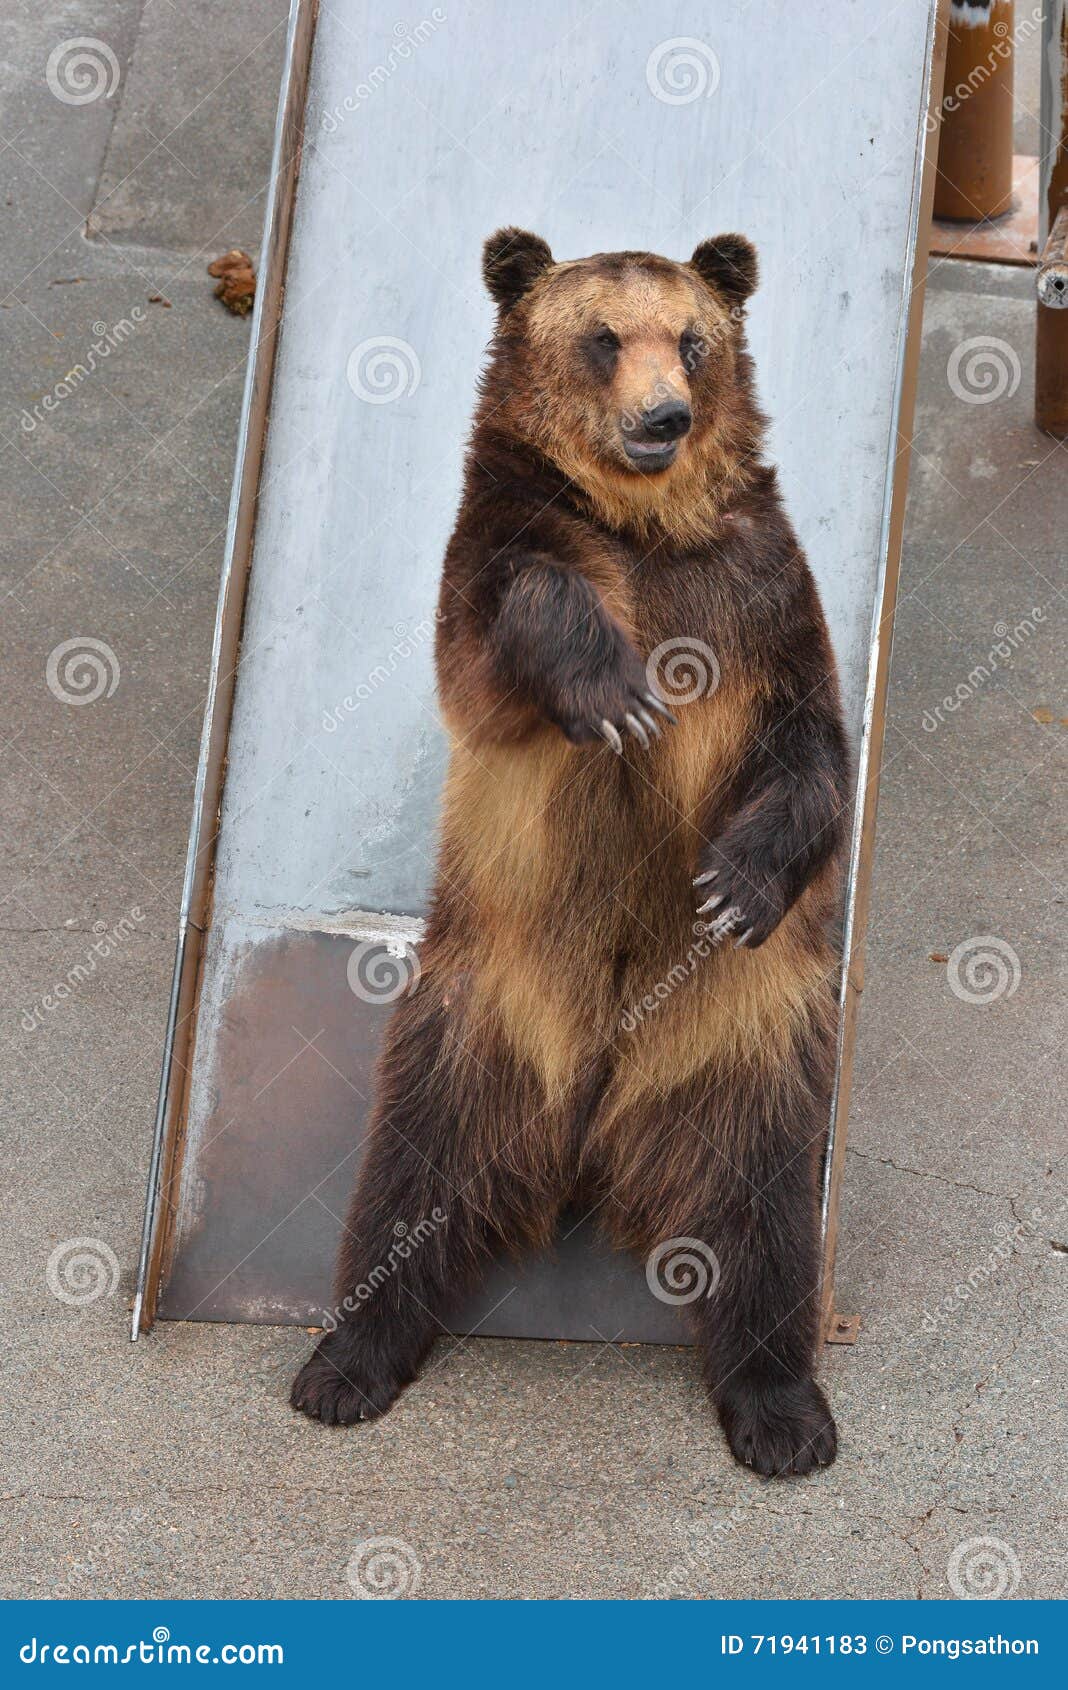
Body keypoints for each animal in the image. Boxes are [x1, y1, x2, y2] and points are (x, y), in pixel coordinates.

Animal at [291, 228, 851, 1477]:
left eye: (690, 340)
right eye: (602, 337)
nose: (665, 417)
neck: (646, 523)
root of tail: (591, 1128)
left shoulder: (760, 599)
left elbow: (812, 758)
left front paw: (733, 888)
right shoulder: (503, 552)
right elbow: (521, 608)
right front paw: (617, 698)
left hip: (741, 1050)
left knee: (762, 1220)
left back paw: (784, 1412)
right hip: (479, 1017)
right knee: (409, 1181)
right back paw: (343, 1365)